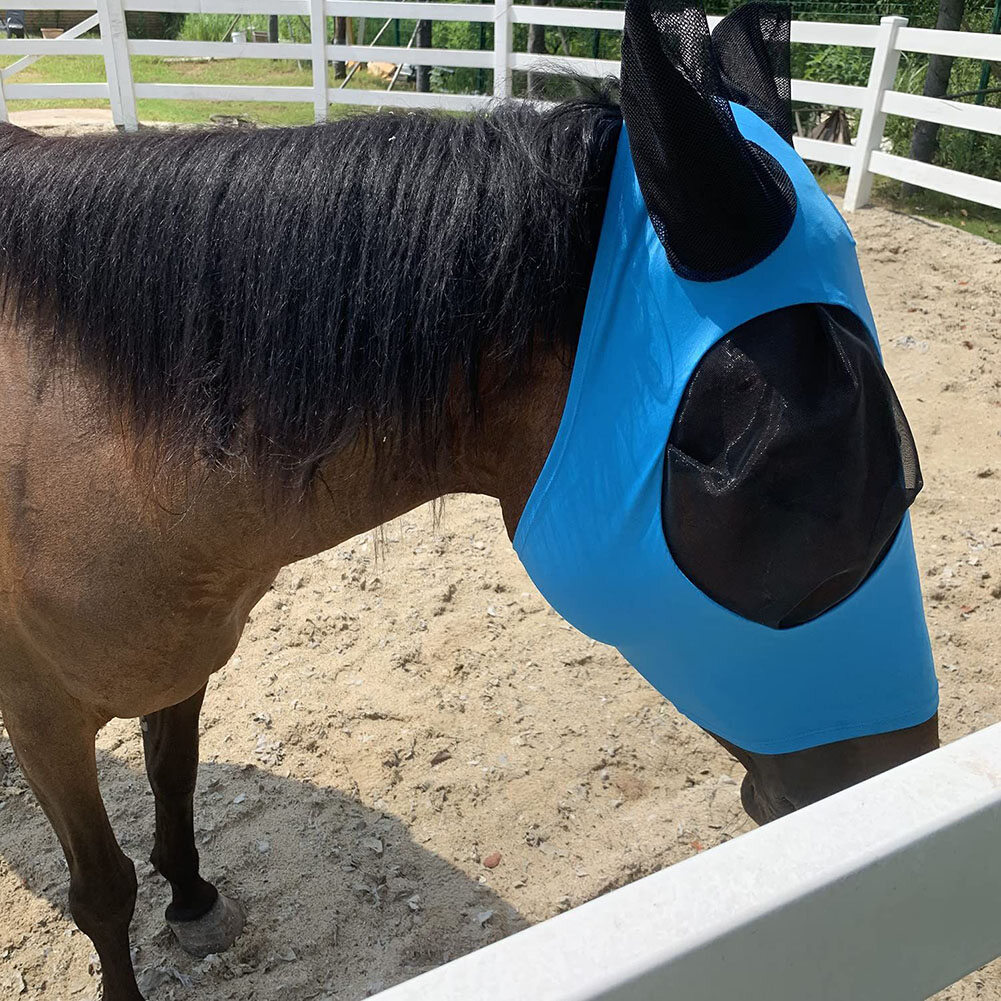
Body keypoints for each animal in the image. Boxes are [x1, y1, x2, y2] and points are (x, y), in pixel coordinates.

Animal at [0, 72, 938, 1001]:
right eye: (770, 469)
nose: (895, 783)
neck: (80, 437)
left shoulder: (177, 660)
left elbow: (174, 776)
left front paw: (193, 898)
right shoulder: (41, 718)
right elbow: (103, 889)